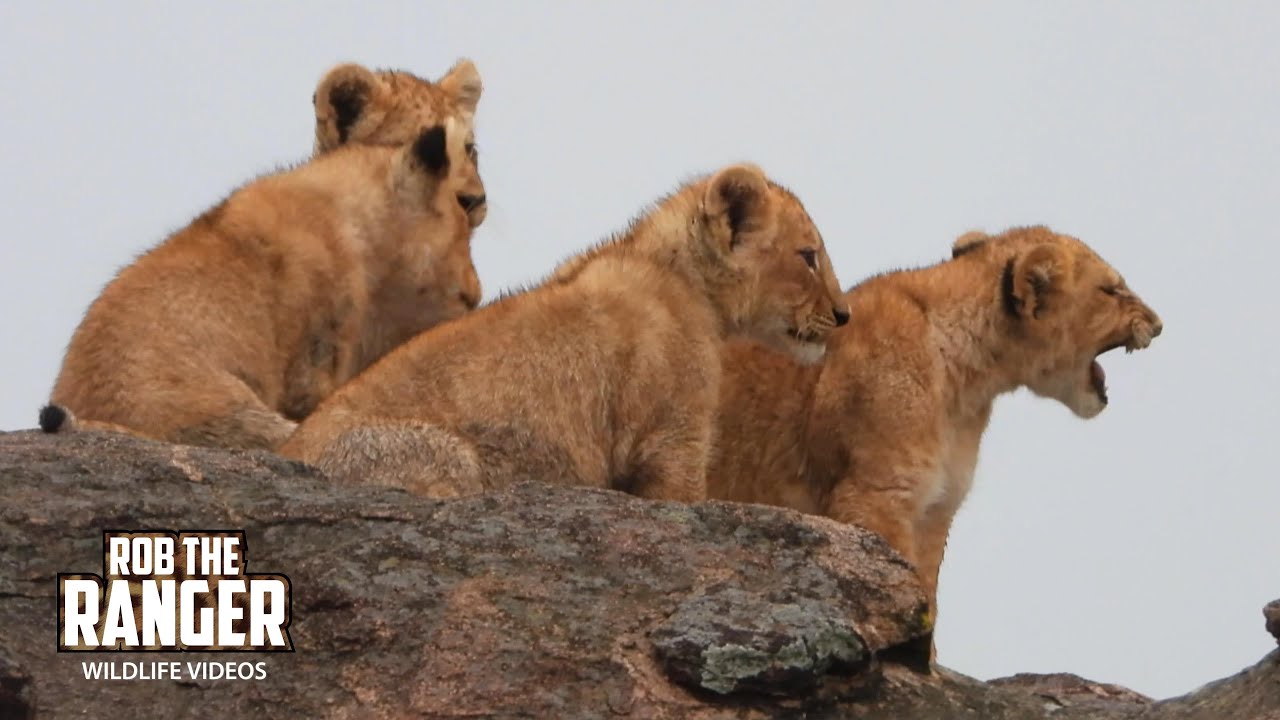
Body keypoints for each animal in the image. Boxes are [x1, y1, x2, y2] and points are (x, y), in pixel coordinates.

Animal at [709, 226, 1163, 626]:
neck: (966, 384)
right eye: (1111, 291)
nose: (1159, 325)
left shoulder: (935, 510)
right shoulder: (875, 497)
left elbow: (926, 594)